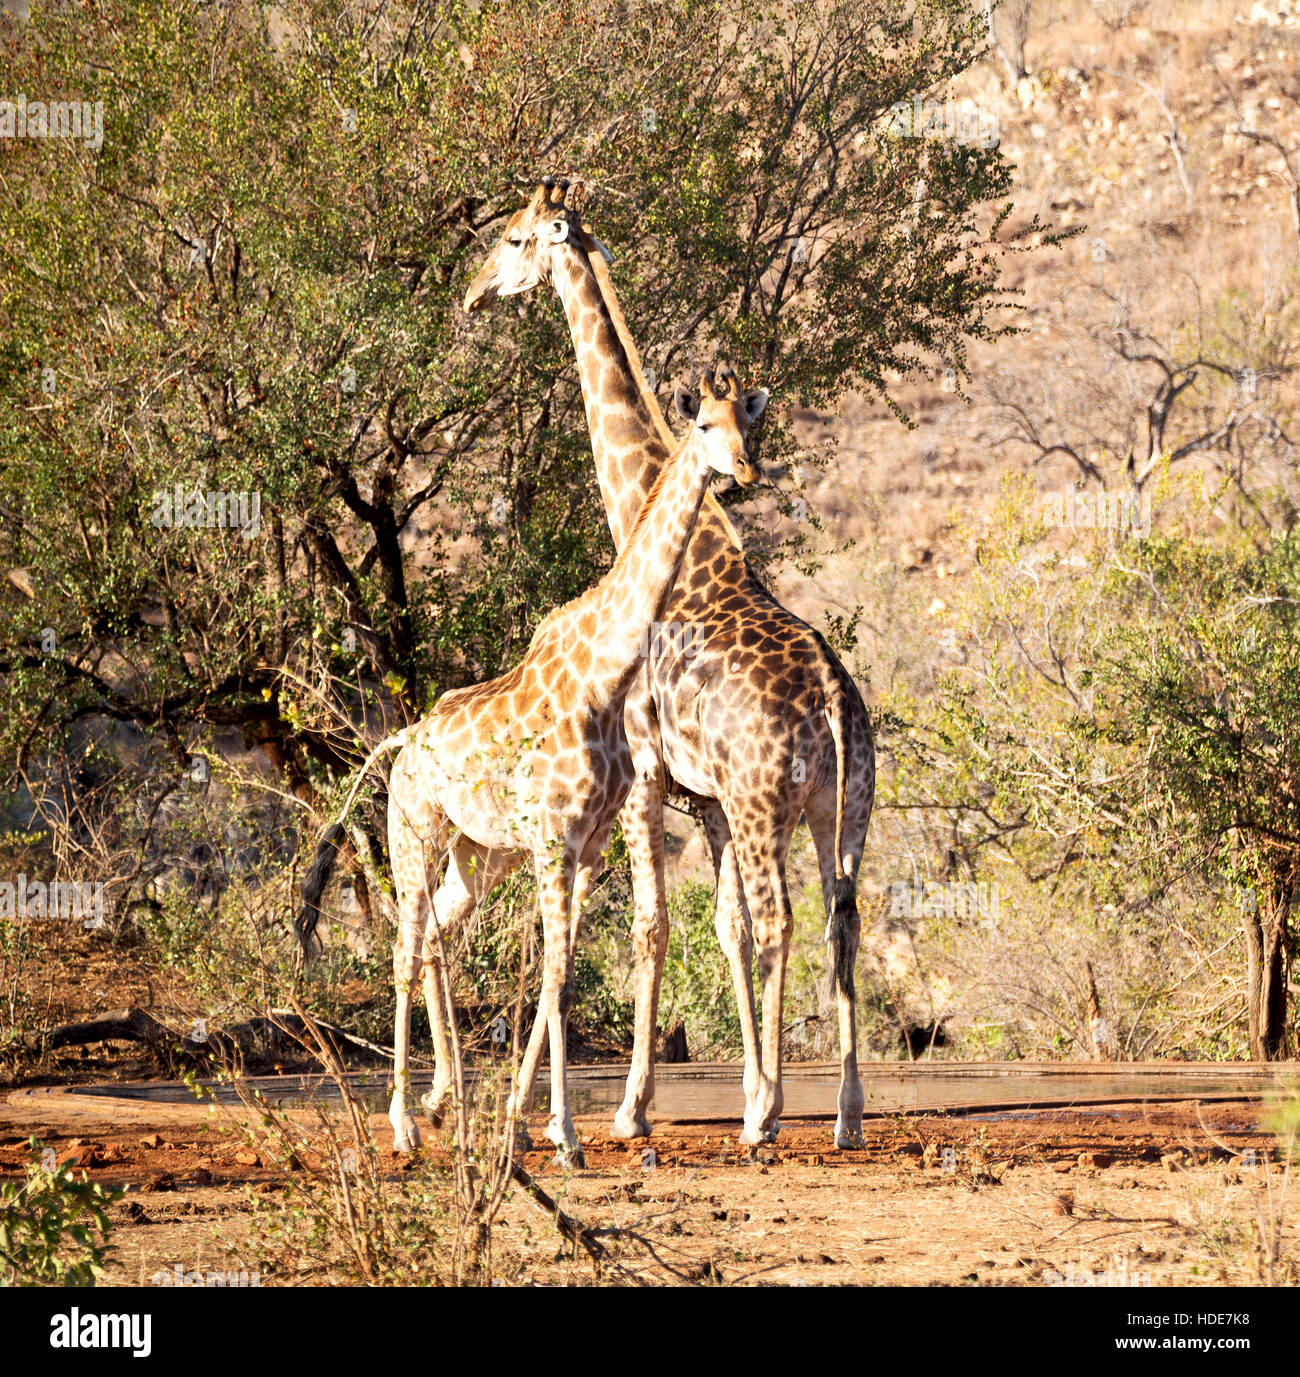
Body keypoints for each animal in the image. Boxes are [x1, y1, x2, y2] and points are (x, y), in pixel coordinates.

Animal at [298, 361, 767, 1164]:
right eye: (705, 424)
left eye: (750, 422)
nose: (741, 469)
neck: (604, 674)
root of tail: (402, 742)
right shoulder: (554, 839)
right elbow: (556, 977)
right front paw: (561, 1132)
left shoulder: (583, 845)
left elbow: (559, 982)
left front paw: (538, 1123)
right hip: (413, 834)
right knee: (403, 950)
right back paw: (402, 1123)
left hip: (477, 852)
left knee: (436, 940)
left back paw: (445, 1103)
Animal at [464, 177, 876, 1149]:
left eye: (515, 238)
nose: (472, 292)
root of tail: (834, 700)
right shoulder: (710, 799)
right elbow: (721, 928)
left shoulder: (651, 773)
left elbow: (651, 924)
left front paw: (628, 1107)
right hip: (845, 808)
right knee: (842, 918)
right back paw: (844, 1112)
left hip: (771, 804)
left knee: (785, 918)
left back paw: (767, 1119)